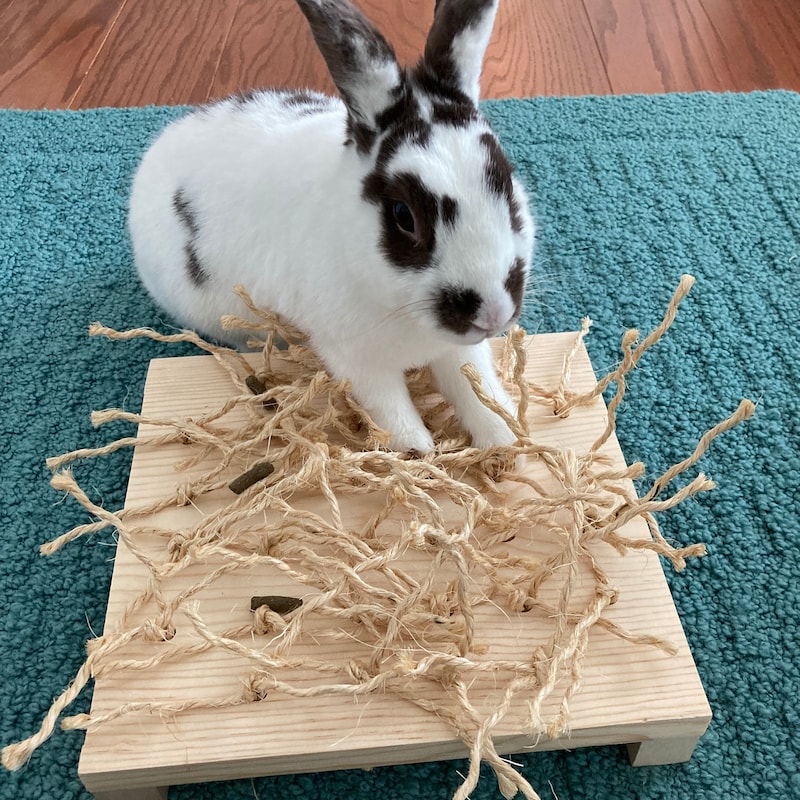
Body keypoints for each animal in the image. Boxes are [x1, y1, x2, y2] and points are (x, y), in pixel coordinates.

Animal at [128, 0, 535, 455]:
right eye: (404, 215)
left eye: (506, 186)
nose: (493, 314)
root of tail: (157, 151)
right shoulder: (355, 358)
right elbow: (391, 409)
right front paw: (418, 453)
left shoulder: (458, 351)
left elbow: (476, 387)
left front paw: (505, 445)